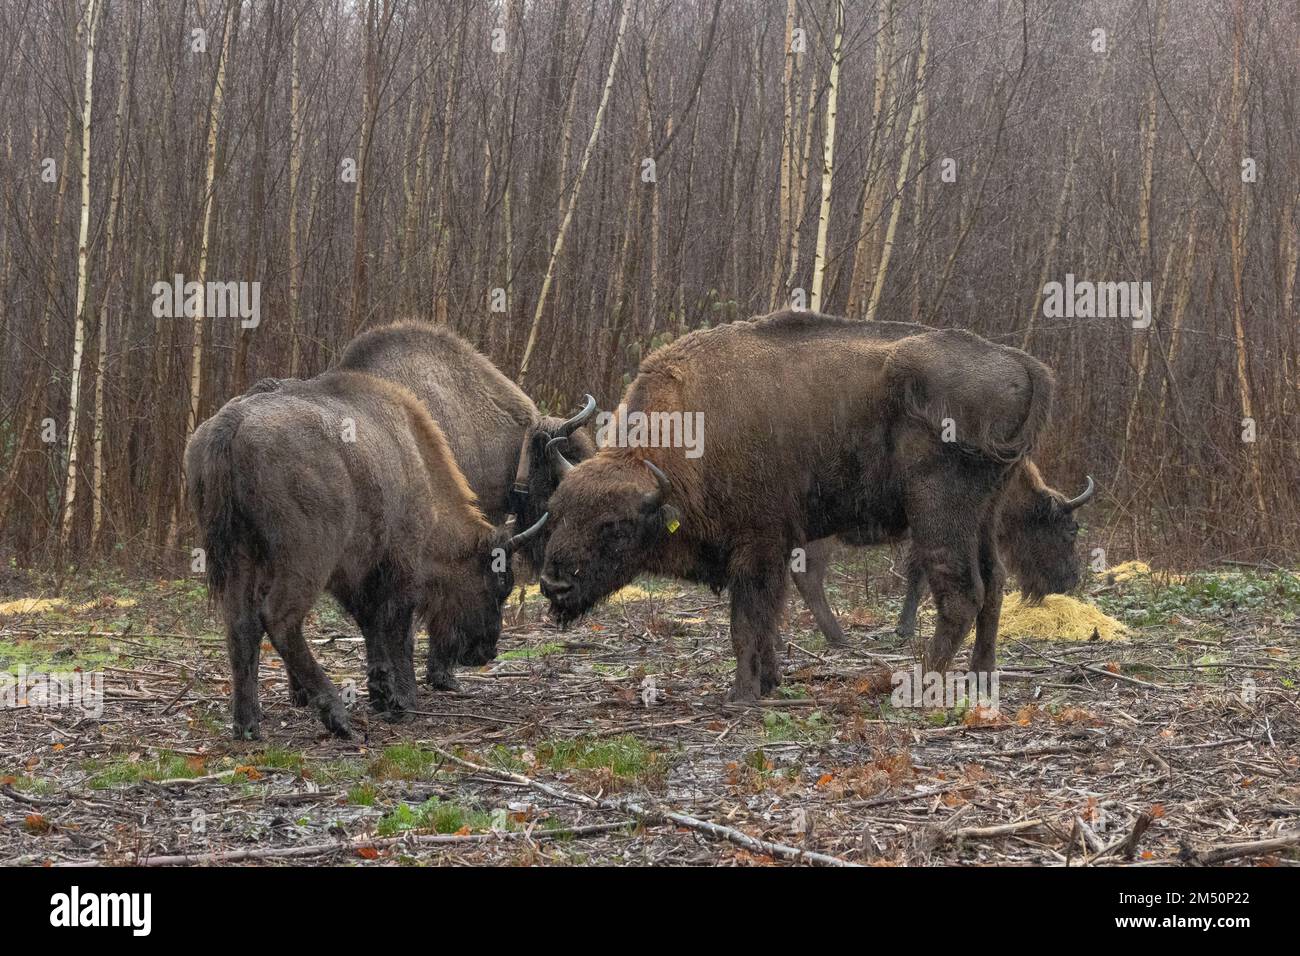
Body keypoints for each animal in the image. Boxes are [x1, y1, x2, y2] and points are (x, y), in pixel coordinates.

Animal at [185, 370, 548, 739]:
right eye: (499, 584)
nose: (485, 651)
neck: (417, 467)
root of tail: (232, 423)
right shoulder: (401, 566)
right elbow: (397, 632)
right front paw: (403, 701)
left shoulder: (357, 575)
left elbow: (372, 627)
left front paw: (383, 695)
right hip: (306, 559)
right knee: (279, 618)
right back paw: (338, 719)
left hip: (240, 556)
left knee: (241, 625)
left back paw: (247, 724)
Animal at [540, 309, 1055, 701]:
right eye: (557, 513)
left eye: (613, 526)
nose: (554, 585)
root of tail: (1022, 364)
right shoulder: (772, 552)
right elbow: (767, 621)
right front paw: (769, 682)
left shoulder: (758, 546)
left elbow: (746, 623)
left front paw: (742, 694)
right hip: (985, 512)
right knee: (994, 582)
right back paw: (981, 680)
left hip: (939, 511)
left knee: (962, 593)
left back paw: (917, 684)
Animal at [795, 464, 1095, 646]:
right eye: (1071, 530)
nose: (1072, 579)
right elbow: (918, 575)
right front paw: (904, 629)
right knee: (808, 578)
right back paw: (839, 638)